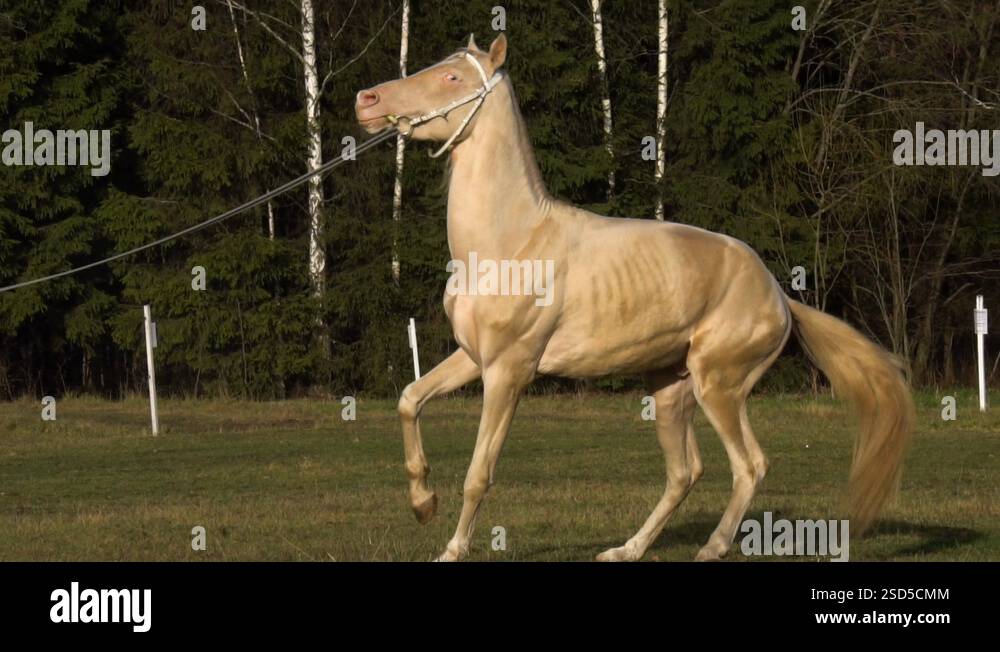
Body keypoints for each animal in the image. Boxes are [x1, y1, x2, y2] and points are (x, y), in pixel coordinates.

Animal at [355, 33, 915, 562]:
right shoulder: (474, 359)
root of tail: (779, 297)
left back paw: (712, 547)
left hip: (721, 387)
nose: (367, 100)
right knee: (685, 472)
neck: (509, 241)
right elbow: (409, 399)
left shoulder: (509, 372)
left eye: (452, 77)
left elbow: (479, 471)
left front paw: (450, 548)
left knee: (749, 465)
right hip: (670, 390)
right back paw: (626, 549)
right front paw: (422, 503)